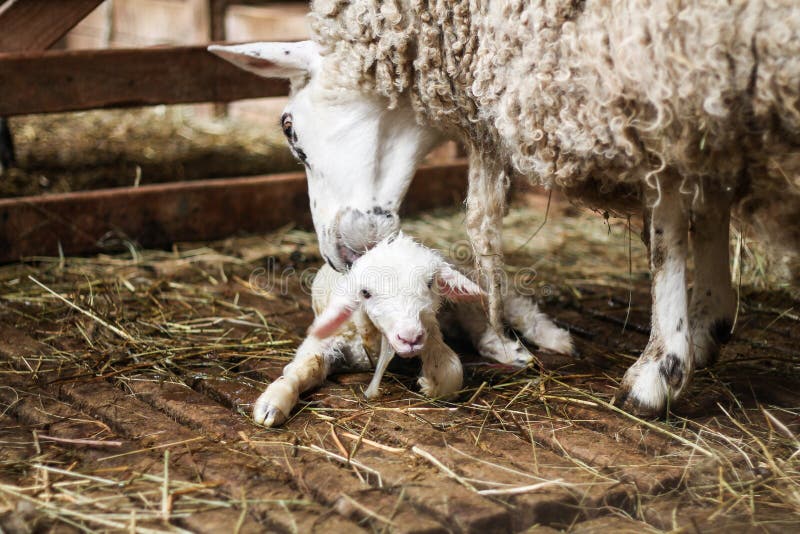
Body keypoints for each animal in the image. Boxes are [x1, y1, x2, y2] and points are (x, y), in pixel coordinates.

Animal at [253, 233, 573, 427]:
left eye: (430, 283)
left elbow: (451, 372)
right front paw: (272, 404)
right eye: (365, 293)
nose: (409, 337)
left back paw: (546, 342)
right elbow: (303, 367)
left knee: (507, 310)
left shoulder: (431, 329)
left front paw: (428, 383)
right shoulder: (326, 341)